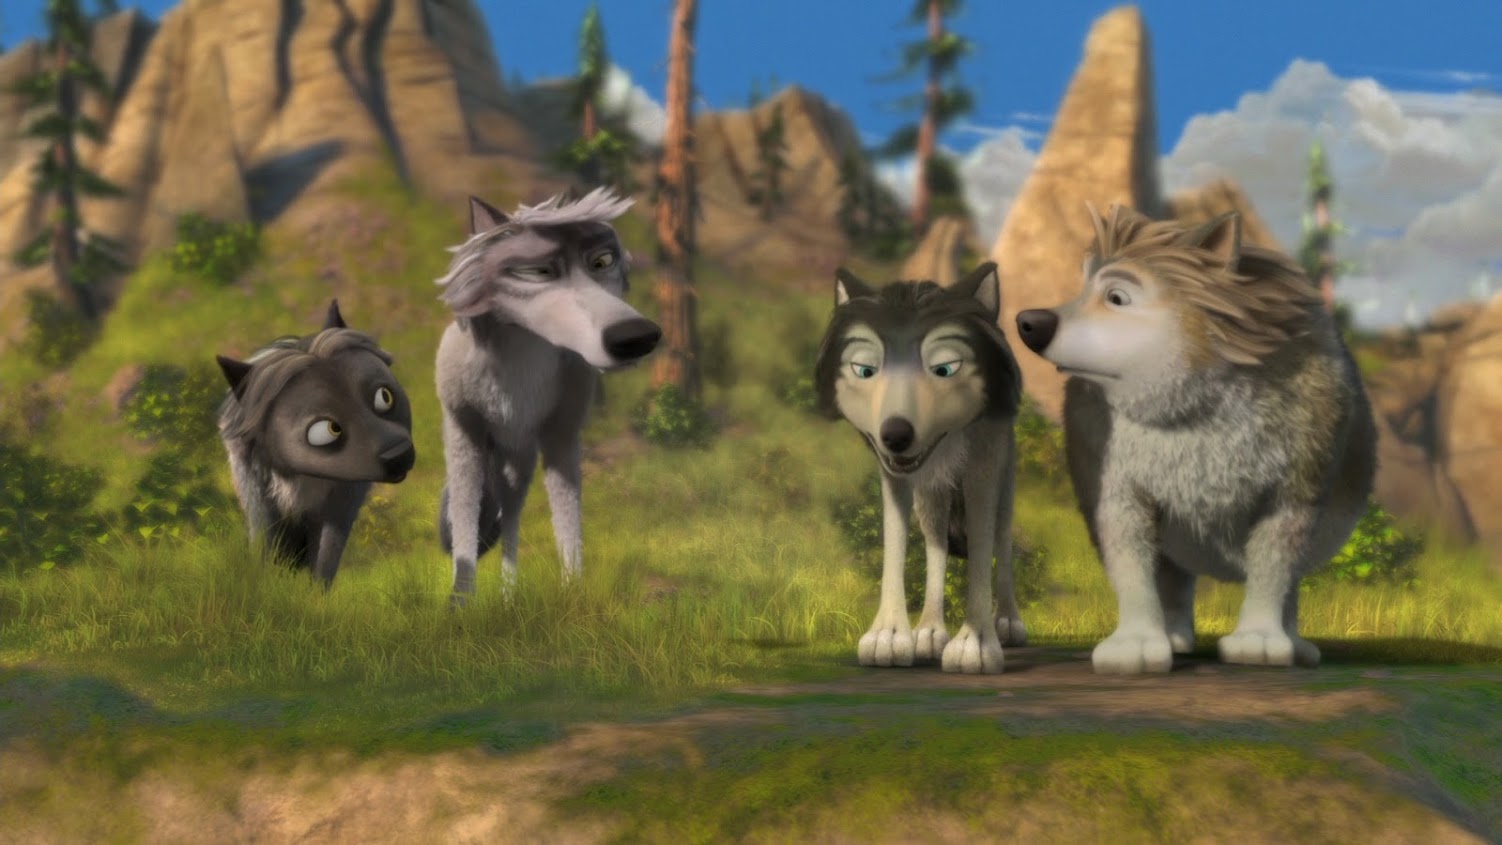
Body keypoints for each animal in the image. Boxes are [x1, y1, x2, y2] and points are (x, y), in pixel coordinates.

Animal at [216, 300, 416, 586]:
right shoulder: (260, 501)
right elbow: (266, 549)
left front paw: (312, 595)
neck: (304, 480)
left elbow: (324, 562)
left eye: (384, 396)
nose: (399, 455)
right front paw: (266, 588)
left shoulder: (340, 508)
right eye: (327, 430)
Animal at [434, 187, 661, 602]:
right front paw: (460, 603)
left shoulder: (562, 438)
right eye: (538, 272)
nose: (638, 337)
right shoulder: (464, 438)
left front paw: (573, 596)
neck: (519, 369)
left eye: (601, 262)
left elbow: (569, 528)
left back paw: (509, 596)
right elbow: (464, 531)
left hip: (520, 465)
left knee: (512, 519)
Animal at [814, 262, 1026, 674]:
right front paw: (890, 636)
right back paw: (928, 632)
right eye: (865, 370)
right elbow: (896, 543)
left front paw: (976, 644)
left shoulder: (983, 467)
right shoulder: (895, 475)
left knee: (1002, 539)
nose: (895, 434)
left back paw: (1008, 623)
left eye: (945, 368)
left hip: (1005, 482)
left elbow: (982, 547)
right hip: (931, 498)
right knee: (936, 544)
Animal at [1014, 205, 1377, 674]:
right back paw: (1173, 638)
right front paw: (1135, 646)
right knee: (1172, 578)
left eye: (1116, 297)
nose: (1028, 323)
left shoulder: (1294, 494)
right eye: (1082, 287)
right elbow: (1131, 569)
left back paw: (1295, 646)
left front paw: (1259, 642)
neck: (1197, 409)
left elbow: (1273, 570)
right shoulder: (1114, 491)